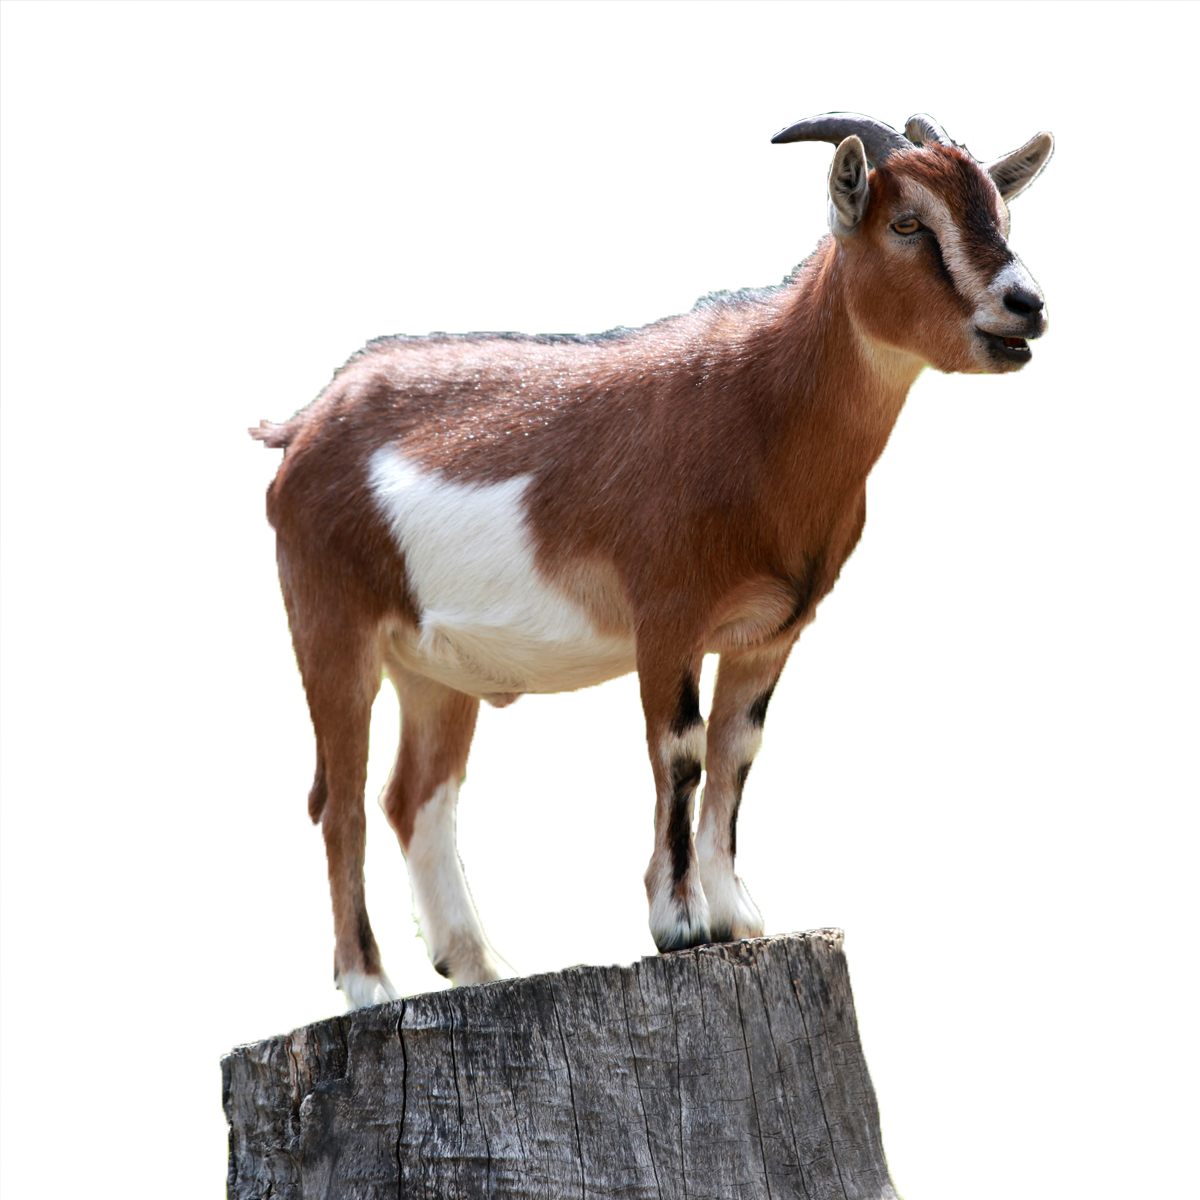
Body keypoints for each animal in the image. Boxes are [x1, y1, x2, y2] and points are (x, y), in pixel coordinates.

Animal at [92, 112, 1052, 1009]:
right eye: (907, 224)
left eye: (1001, 213)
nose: (1025, 306)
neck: (759, 408)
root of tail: (290, 436)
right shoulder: (667, 614)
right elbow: (680, 749)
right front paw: (679, 924)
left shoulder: (769, 632)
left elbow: (737, 752)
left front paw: (737, 916)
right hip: (331, 620)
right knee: (337, 798)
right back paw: (370, 986)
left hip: (430, 667)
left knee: (413, 795)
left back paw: (478, 965)